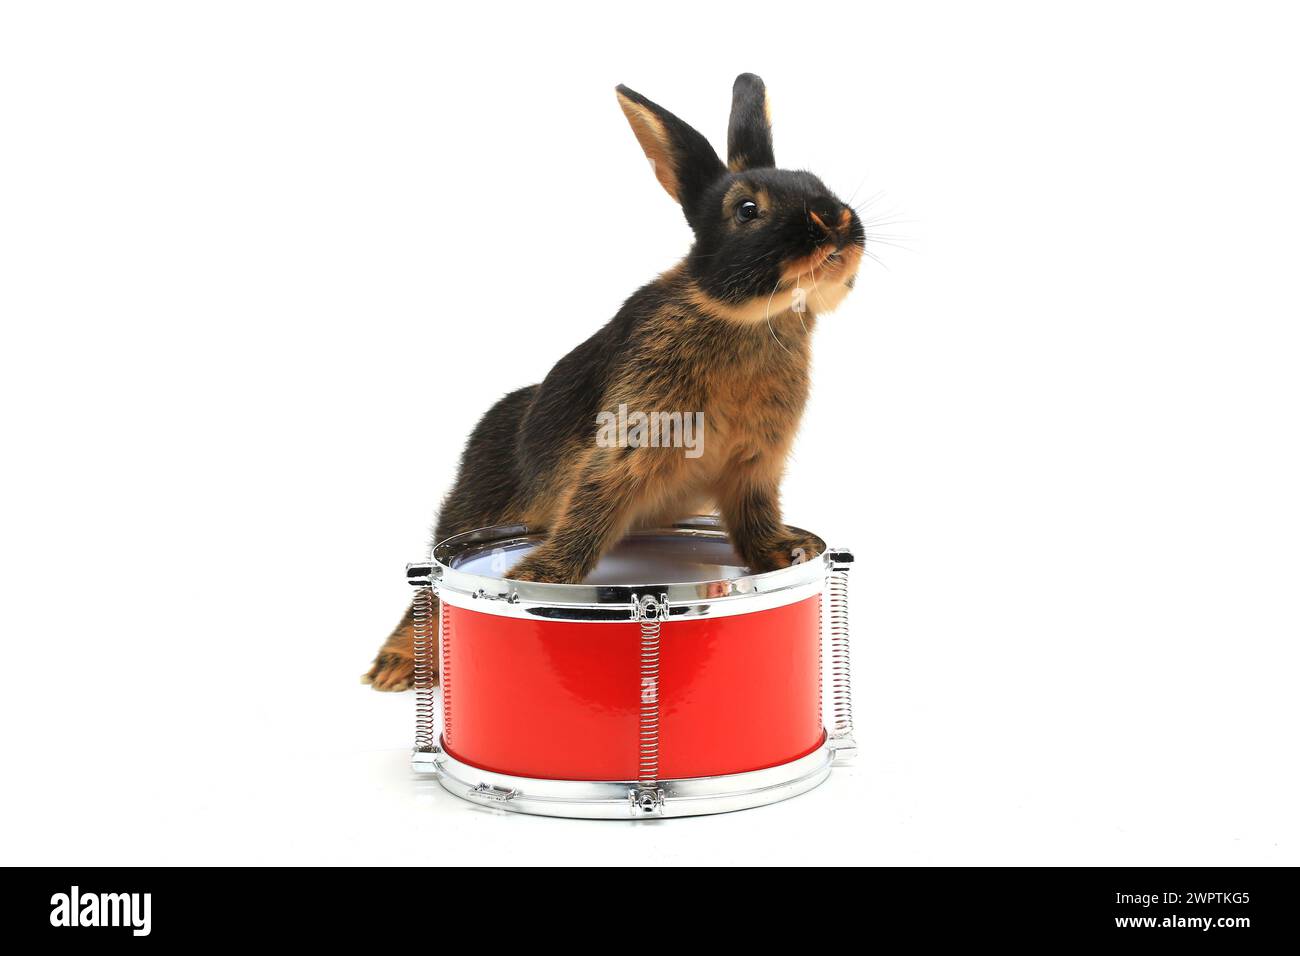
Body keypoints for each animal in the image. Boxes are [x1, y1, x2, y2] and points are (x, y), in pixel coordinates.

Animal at [365, 73, 865, 690]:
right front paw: (543, 577)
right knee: (425, 598)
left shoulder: (754, 466)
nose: (835, 222)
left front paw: (784, 553)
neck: (748, 320)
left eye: (819, 184)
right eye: (747, 209)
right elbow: (591, 512)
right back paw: (394, 668)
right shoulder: (628, 444)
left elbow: (754, 520)